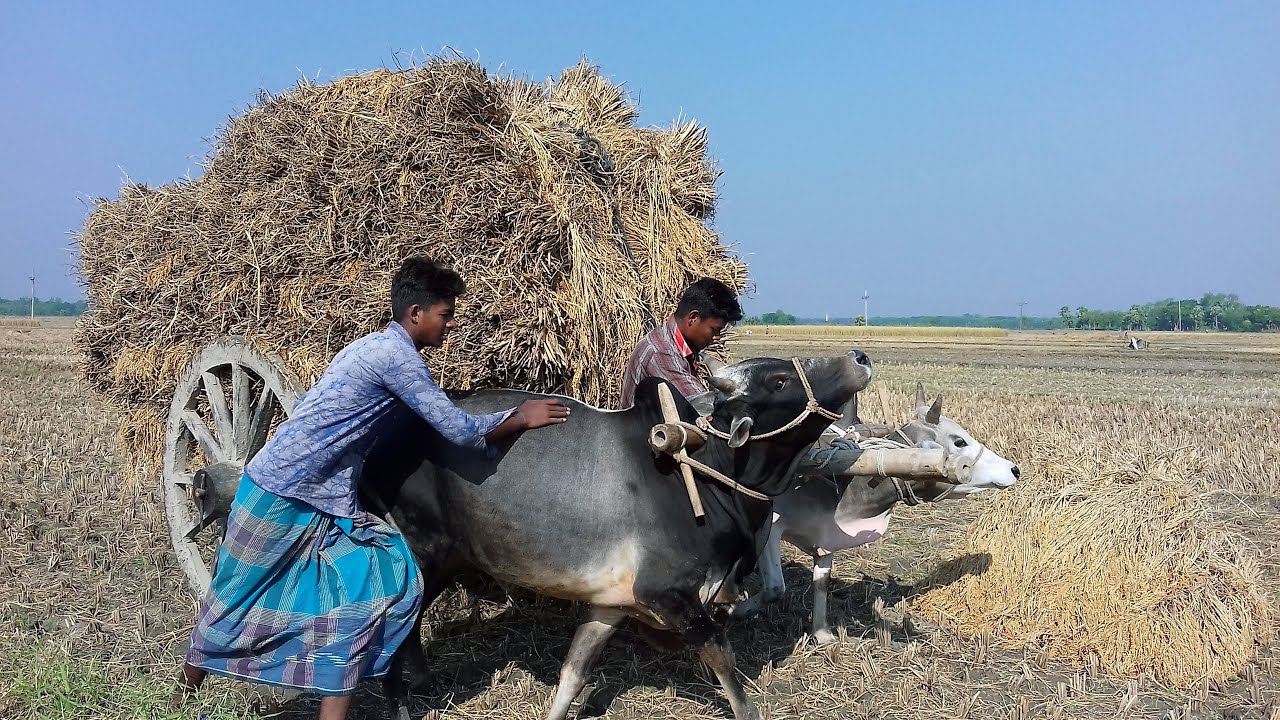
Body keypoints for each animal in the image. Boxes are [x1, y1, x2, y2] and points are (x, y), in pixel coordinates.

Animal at [361, 350, 874, 720]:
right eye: (780, 381)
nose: (860, 357)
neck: (702, 473)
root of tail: (382, 438)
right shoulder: (668, 596)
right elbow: (725, 663)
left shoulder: (610, 604)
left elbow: (573, 673)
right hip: (423, 555)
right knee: (395, 632)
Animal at [731, 384, 1020, 643]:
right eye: (959, 441)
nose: (1014, 469)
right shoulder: (771, 527)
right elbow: (775, 588)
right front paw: (734, 610)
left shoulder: (828, 537)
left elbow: (821, 583)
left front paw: (822, 634)